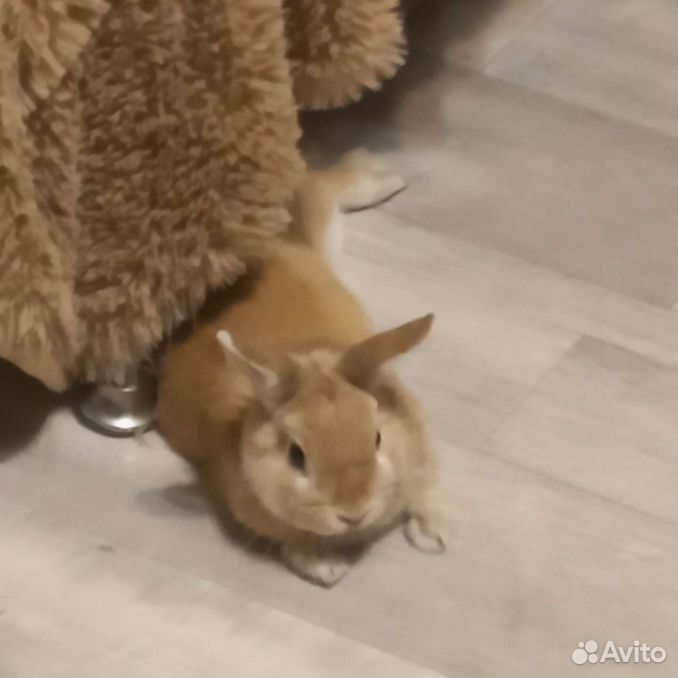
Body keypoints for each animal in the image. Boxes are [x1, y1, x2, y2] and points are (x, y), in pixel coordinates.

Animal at [156, 152, 447, 586]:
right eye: (296, 456)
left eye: (377, 438)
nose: (353, 513)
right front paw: (326, 567)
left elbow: (427, 482)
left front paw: (434, 533)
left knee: (326, 183)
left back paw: (389, 179)